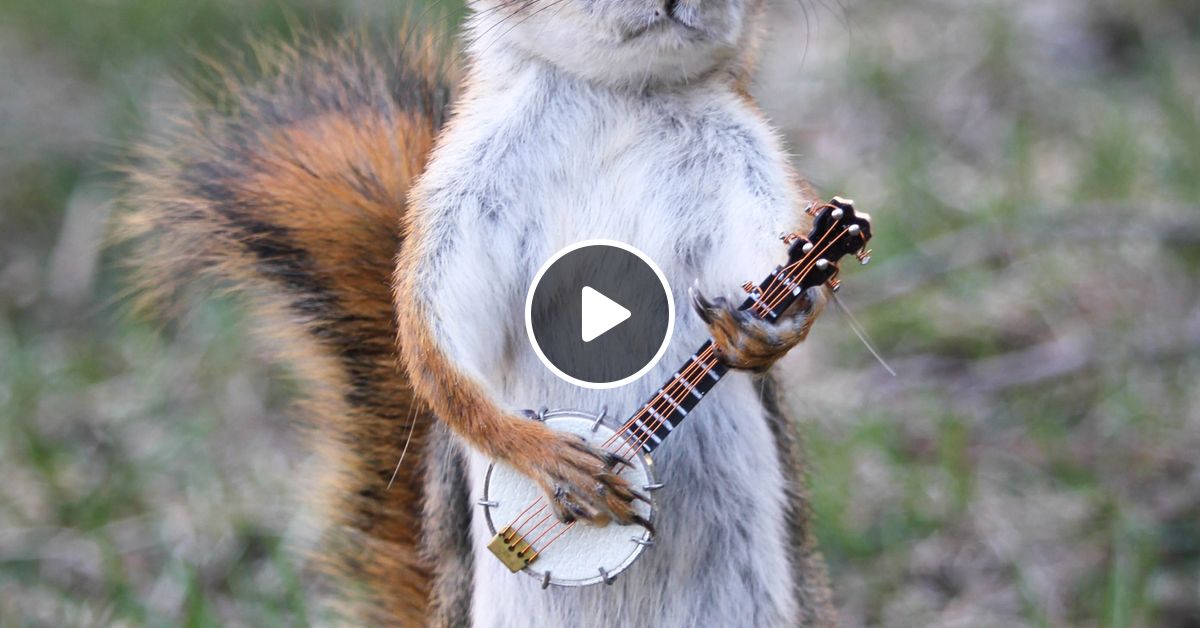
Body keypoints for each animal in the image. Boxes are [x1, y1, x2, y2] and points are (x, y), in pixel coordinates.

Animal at [122, 0, 839, 624]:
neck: (619, 95)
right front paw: (544, 456)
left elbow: (771, 245)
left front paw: (771, 327)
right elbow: (434, 344)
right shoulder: (459, 199)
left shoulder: (750, 170)